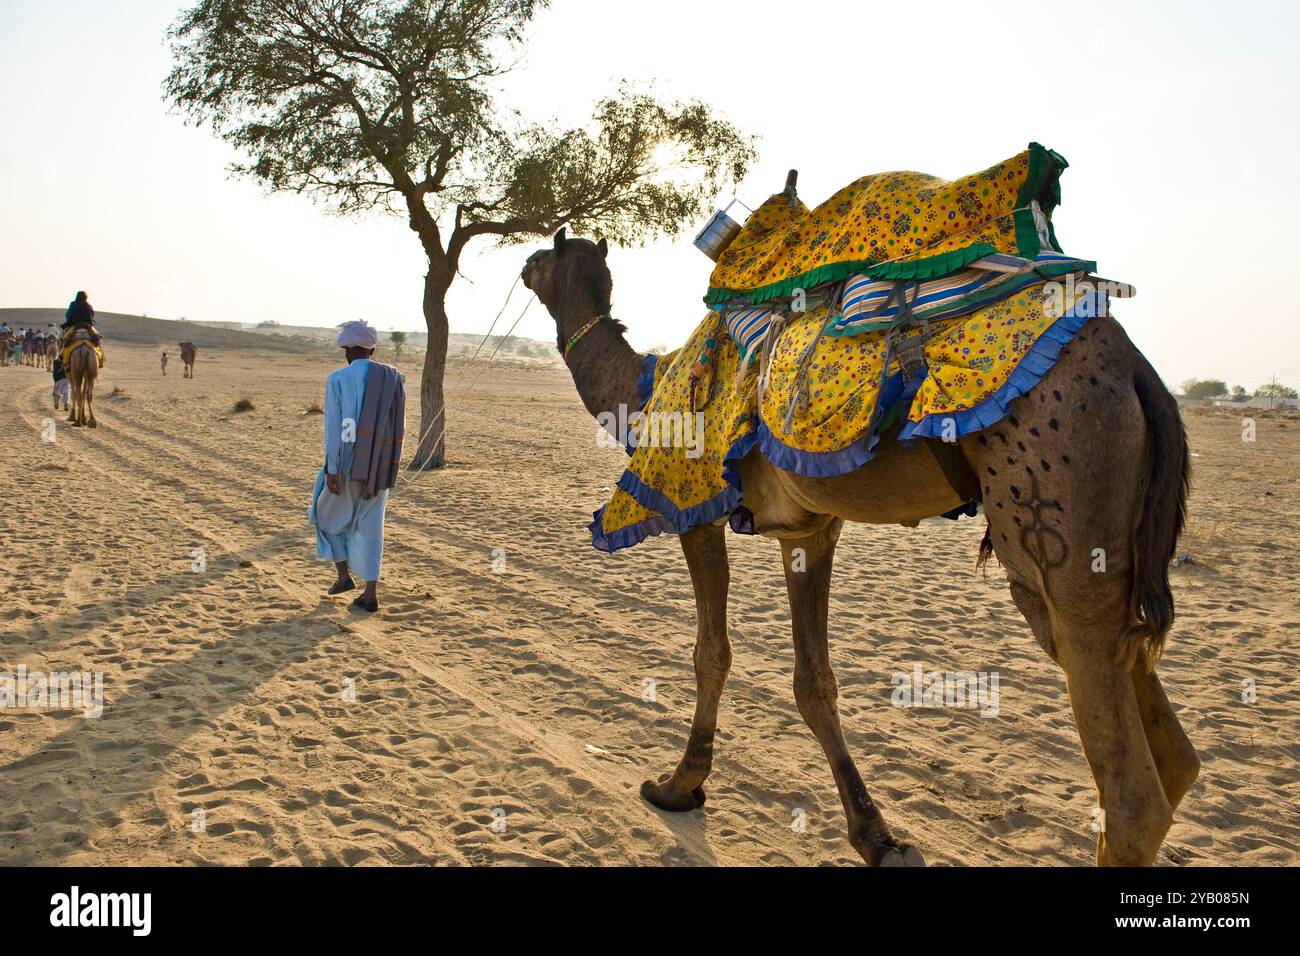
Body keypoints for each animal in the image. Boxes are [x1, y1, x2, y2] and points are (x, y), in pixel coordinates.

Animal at [522, 228, 1198, 867]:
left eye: (545, 259)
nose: (524, 264)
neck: (646, 392)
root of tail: (1137, 372)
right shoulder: (808, 528)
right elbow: (813, 680)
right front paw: (877, 837)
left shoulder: (696, 511)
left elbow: (710, 654)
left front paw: (679, 784)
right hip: (1096, 565)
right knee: (1174, 753)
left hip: (1059, 512)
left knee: (1132, 796)